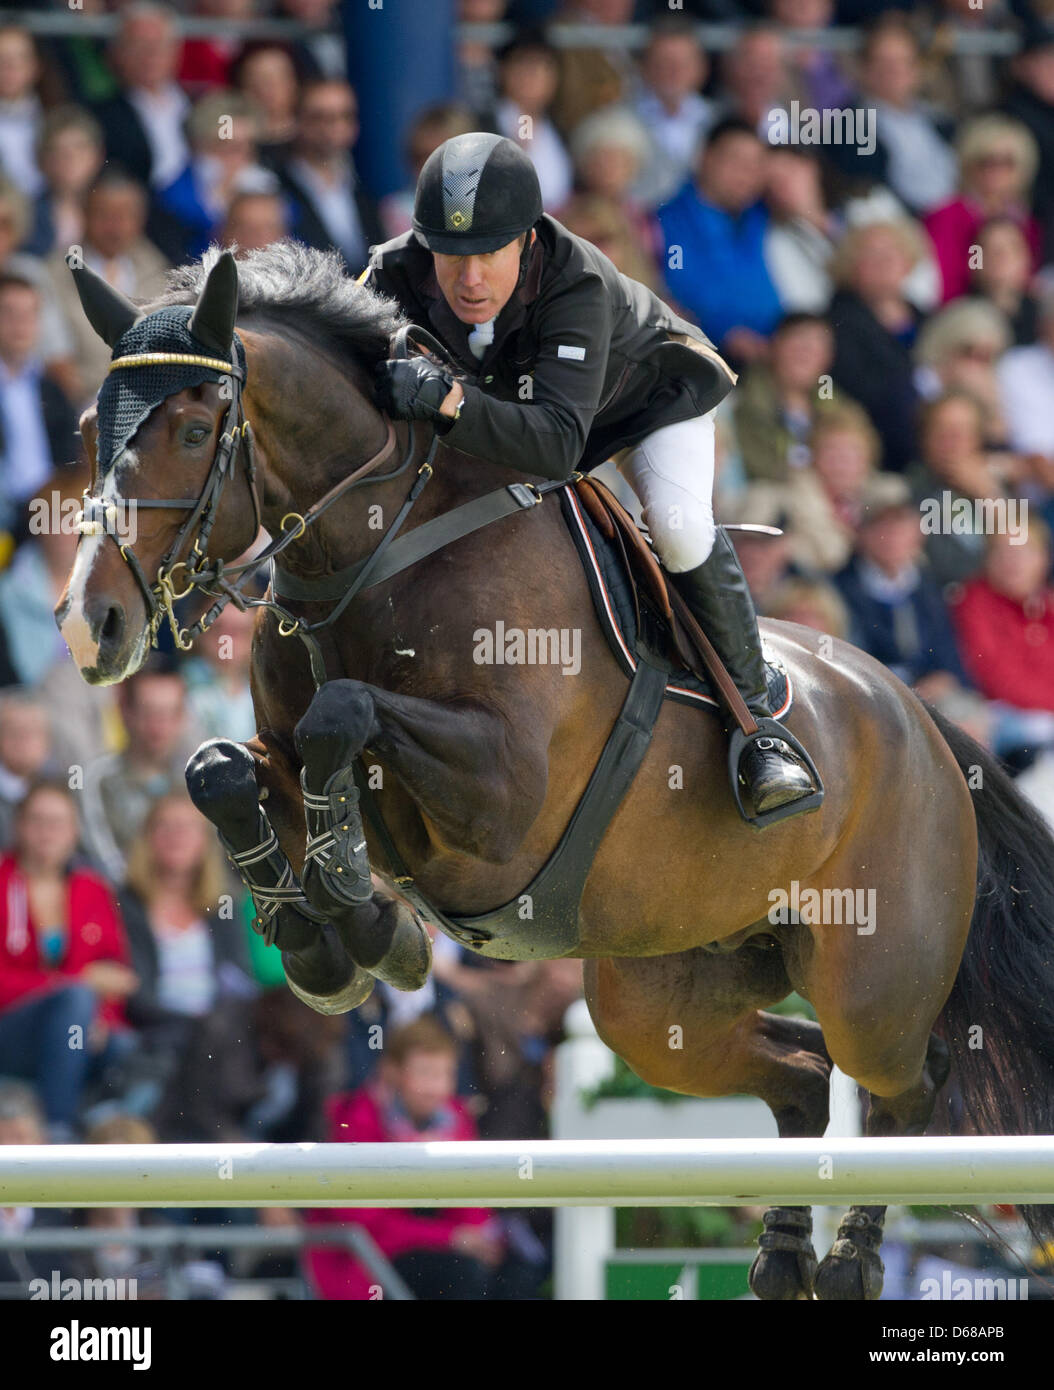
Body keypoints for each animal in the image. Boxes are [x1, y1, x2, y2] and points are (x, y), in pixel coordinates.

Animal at [56, 243, 1054, 1300]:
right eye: (87, 430)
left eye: (194, 427)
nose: (90, 625)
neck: (372, 548)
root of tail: (922, 723)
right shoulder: (288, 755)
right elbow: (219, 771)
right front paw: (329, 940)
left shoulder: (502, 805)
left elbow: (347, 717)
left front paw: (362, 918)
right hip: (657, 996)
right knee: (801, 1074)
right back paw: (784, 1253)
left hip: (870, 975)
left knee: (909, 1079)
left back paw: (851, 1258)